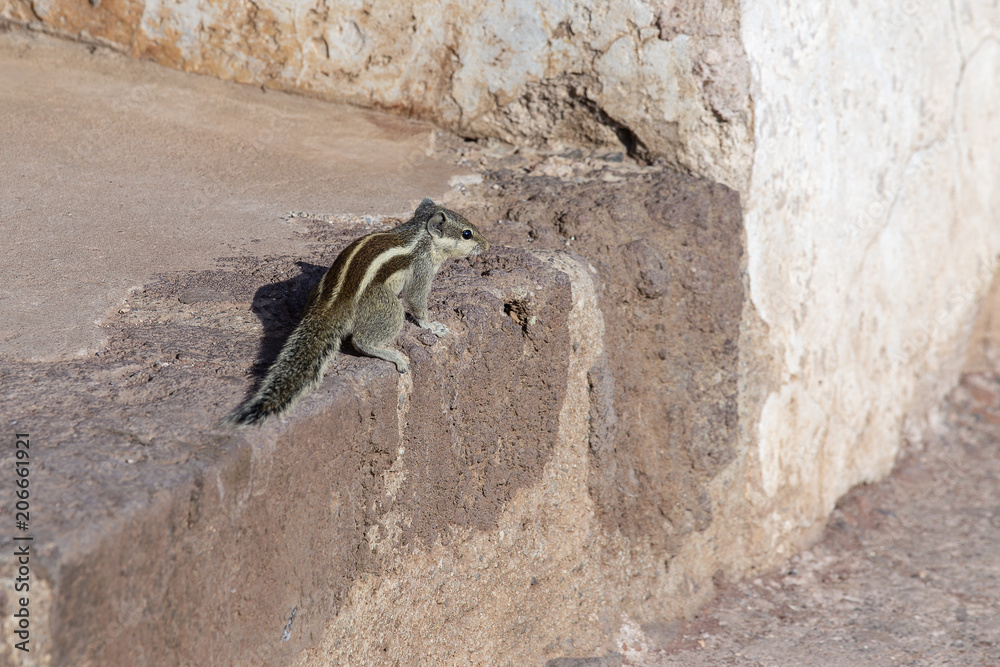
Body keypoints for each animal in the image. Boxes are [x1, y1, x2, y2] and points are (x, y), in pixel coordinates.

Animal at [226, 198, 489, 427]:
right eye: (467, 233)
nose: (488, 245)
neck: (420, 236)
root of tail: (333, 303)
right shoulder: (422, 269)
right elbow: (417, 301)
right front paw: (432, 326)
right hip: (386, 306)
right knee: (361, 340)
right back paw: (394, 356)